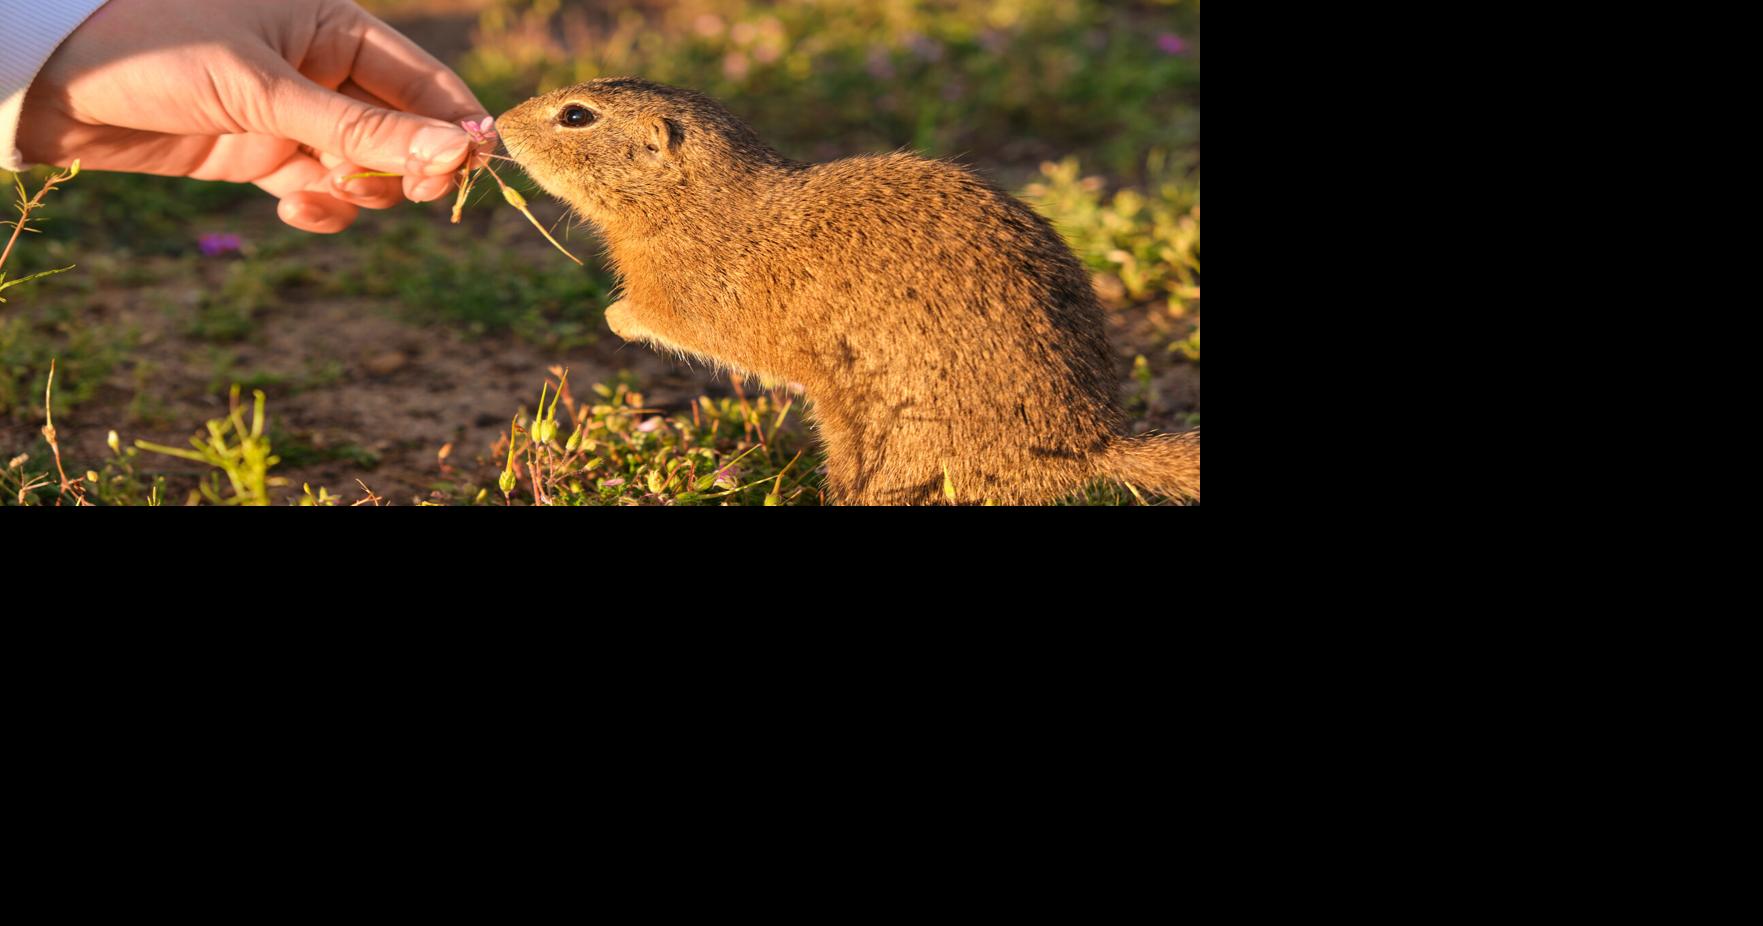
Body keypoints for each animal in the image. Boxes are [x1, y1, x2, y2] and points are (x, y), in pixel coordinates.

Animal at [498, 78, 1198, 505]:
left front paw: (615, 316)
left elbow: (655, 317)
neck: (696, 206)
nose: (499, 122)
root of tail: (1093, 443)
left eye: (576, 116)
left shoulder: (695, 304)